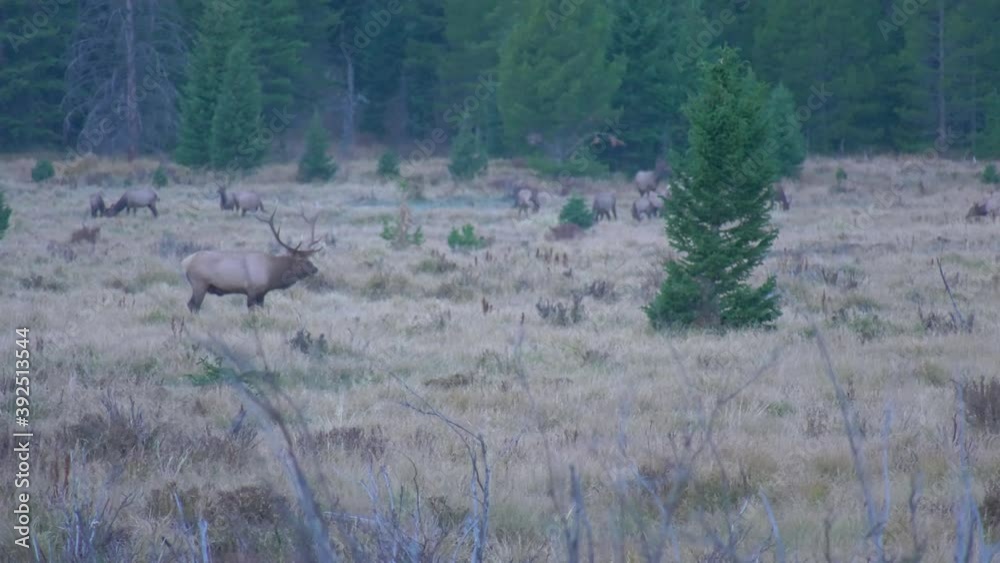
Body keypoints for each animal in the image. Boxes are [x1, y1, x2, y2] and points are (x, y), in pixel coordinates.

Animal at [182, 210, 323, 313]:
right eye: (300, 260)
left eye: (309, 259)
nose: (315, 269)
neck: (271, 274)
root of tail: (186, 261)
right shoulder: (252, 290)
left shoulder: (262, 294)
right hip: (199, 284)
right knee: (193, 305)